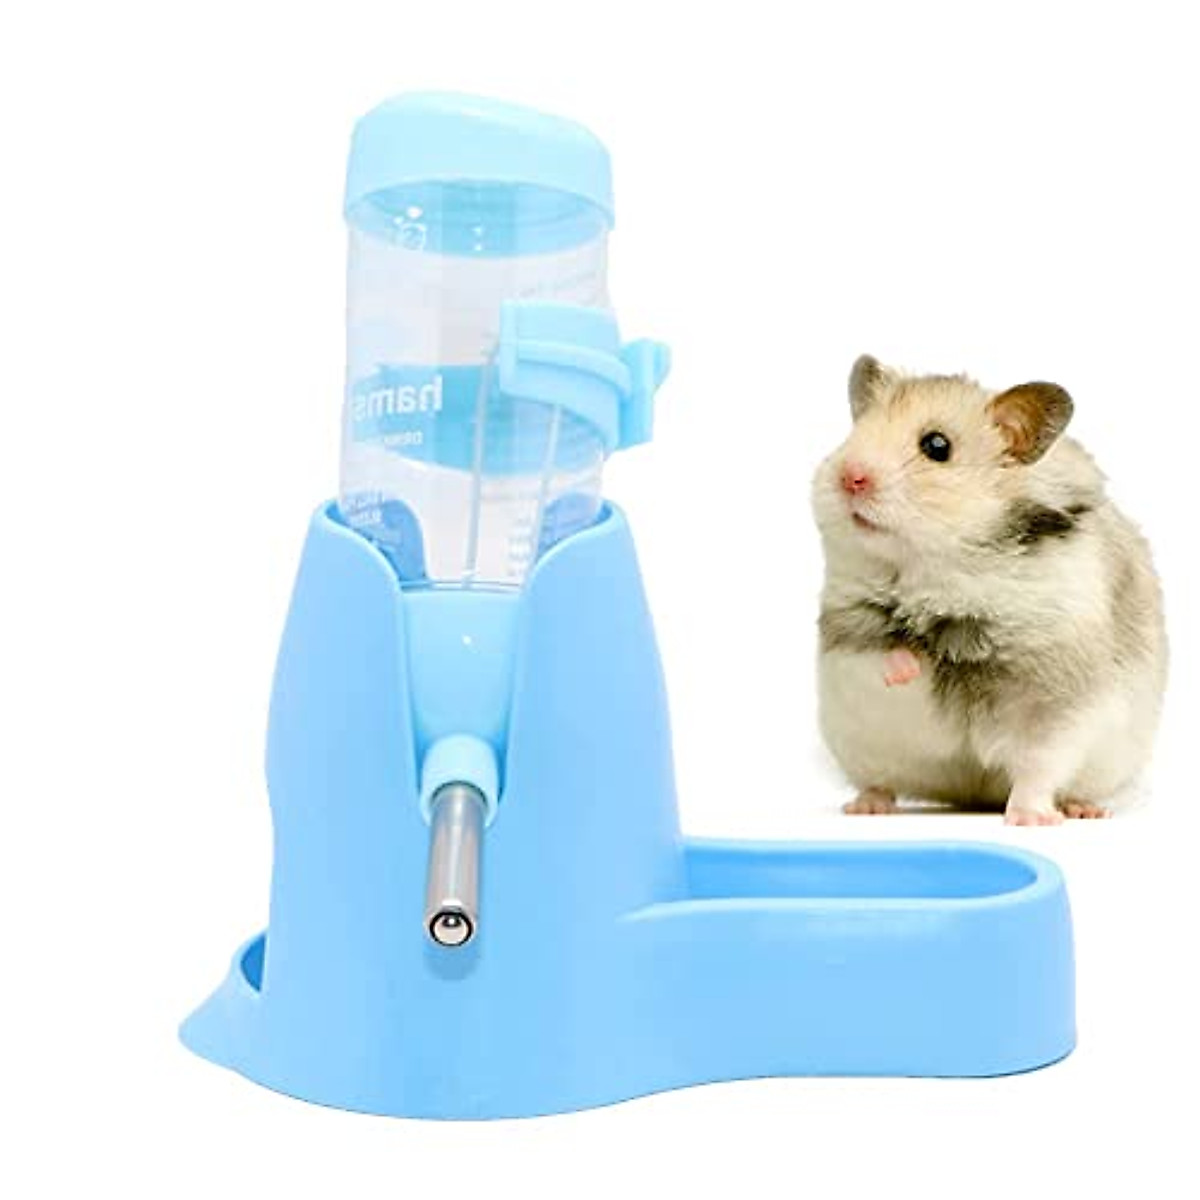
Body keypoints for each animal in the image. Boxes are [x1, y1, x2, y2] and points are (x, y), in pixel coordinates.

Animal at [812, 355, 1167, 825]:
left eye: (937, 446)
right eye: (853, 434)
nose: (850, 477)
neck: (944, 571)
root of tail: (969, 797)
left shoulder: (1055, 702)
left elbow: (1038, 768)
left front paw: (1030, 818)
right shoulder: (847, 638)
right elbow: (880, 656)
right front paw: (909, 664)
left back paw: (1084, 810)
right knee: (878, 780)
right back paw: (866, 807)